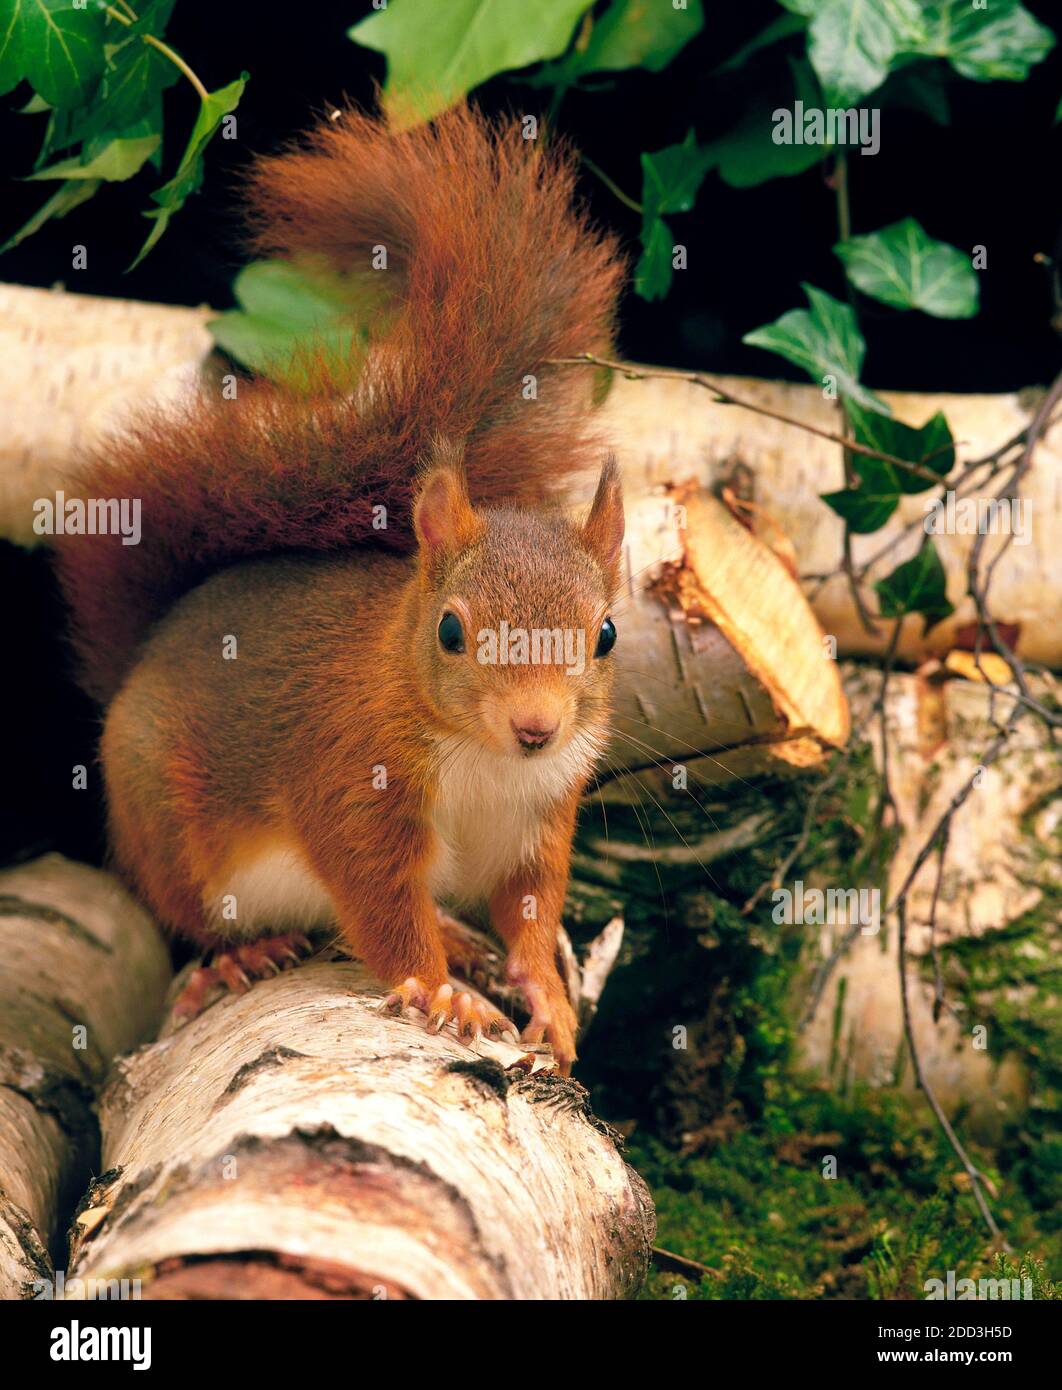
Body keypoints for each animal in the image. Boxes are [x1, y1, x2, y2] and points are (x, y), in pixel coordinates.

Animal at [55, 104, 626, 1074]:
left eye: (607, 635)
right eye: (449, 631)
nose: (537, 728)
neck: (483, 761)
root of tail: (146, 648)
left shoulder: (541, 818)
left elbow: (528, 911)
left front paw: (546, 997)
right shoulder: (352, 777)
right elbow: (378, 901)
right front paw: (439, 990)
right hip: (160, 813)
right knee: (192, 913)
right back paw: (239, 955)